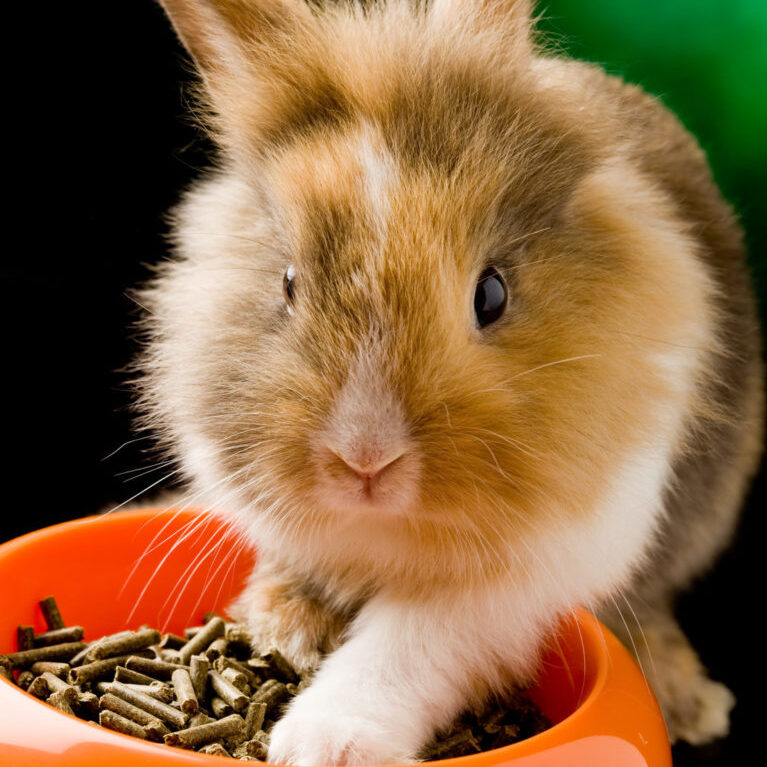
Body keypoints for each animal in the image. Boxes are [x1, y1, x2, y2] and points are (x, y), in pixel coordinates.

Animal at [139, 0, 764, 762]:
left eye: (490, 294)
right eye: (287, 283)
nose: (364, 459)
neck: (387, 524)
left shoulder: (518, 578)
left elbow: (411, 641)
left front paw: (325, 740)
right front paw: (281, 629)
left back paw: (692, 703)